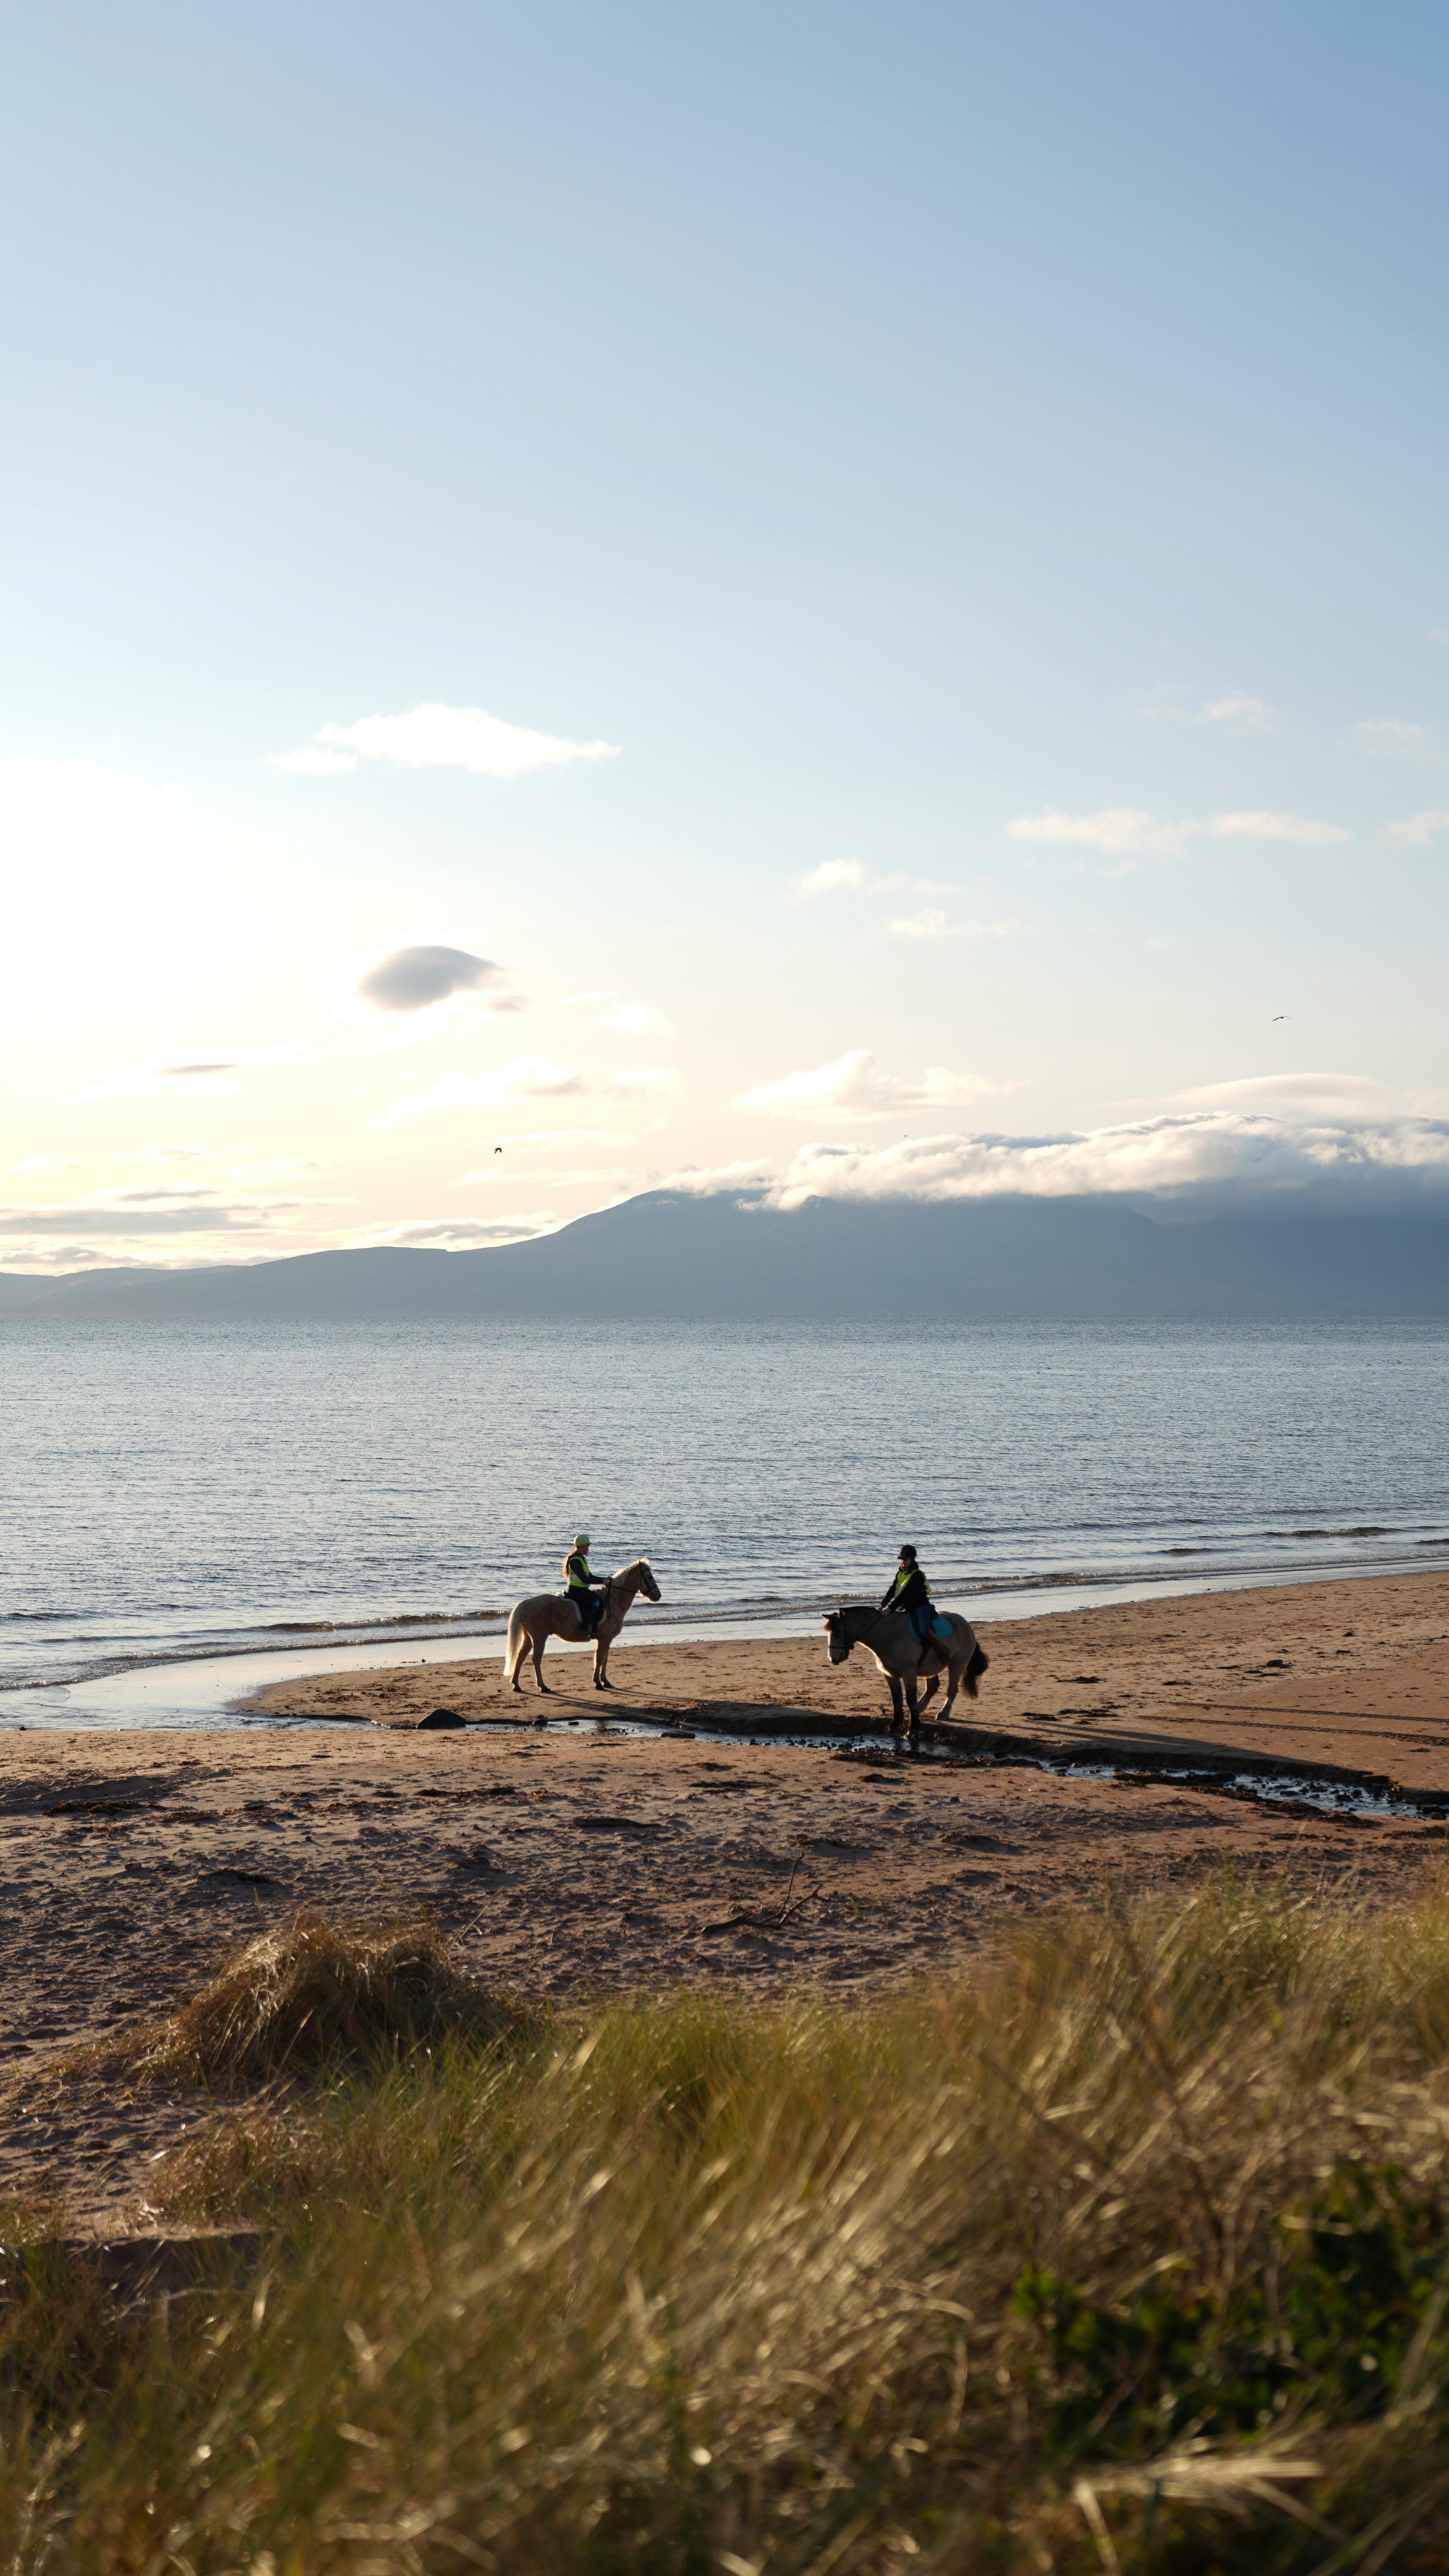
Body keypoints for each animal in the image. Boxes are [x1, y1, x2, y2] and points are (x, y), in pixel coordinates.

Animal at [504, 1557, 662, 1694]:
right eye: (649, 1577)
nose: (658, 1596)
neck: (613, 1601)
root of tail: (526, 1603)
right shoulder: (605, 1639)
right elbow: (599, 1659)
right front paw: (598, 1683)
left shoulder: (607, 1639)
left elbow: (605, 1659)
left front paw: (606, 1682)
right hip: (539, 1638)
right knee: (536, 1660)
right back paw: (543, 1686)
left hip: (530, 1639)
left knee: (520, 1657)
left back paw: (516, 1685)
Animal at [824, 1604, 988, 1735]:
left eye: (838, 1633)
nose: (833, 1659)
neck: (888, 1636)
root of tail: (966, 1625)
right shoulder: (891, 1676)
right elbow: (897, 1699)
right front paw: (896, 1723)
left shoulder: (909, 1674)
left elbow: (910, 1699)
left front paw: (914, 1726)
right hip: (930, 1667)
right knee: (933, 1687)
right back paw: (921, 1708)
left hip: (957, 1664)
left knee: (952, 1690)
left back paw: (943, 1713)